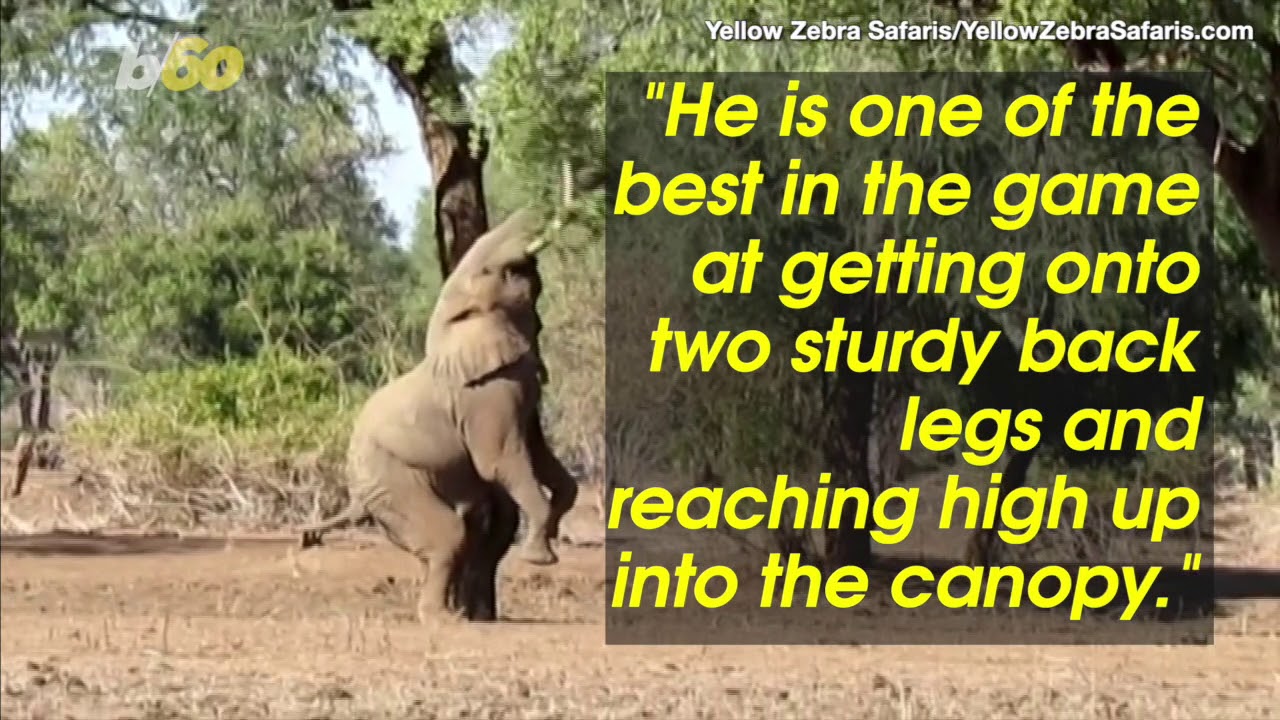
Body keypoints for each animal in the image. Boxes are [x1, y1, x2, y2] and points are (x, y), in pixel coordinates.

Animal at [298, 207, 578, 621]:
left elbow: (541, 457)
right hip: (390, 479)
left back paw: (456, 613)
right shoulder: (485, 395)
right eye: (498, 271)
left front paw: (554, 526)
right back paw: (443, 619)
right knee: (449, 538)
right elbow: (500, 462)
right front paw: (541, 557)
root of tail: (355, 496)